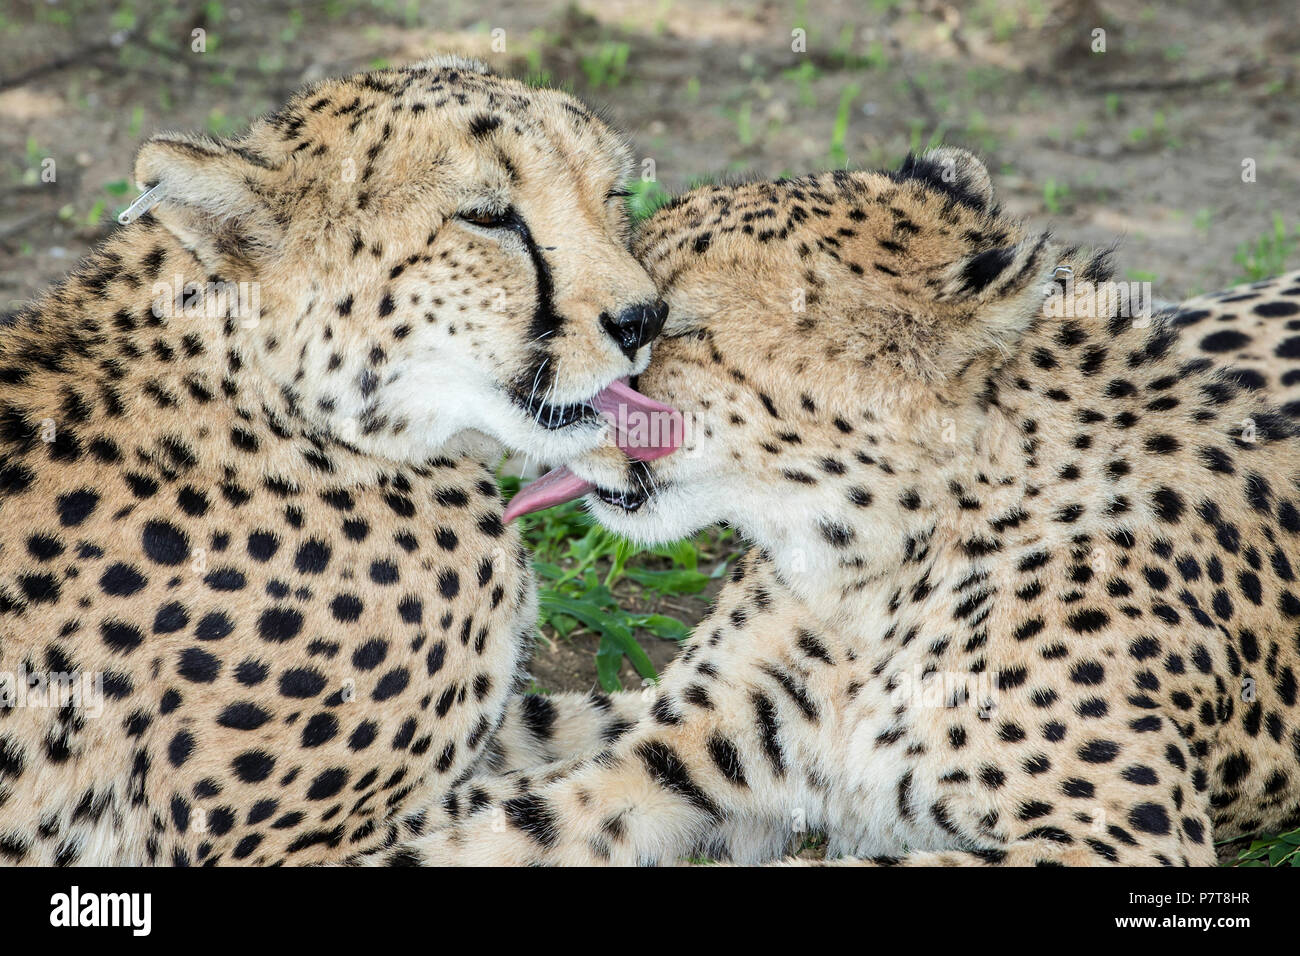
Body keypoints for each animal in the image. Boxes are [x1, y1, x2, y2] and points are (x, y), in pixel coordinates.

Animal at [0, 56, 675, 866]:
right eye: (486, 218)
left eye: (613, 196)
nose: (645, 319)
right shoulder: (280, 850)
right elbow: (578, 792)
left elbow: (595, 722)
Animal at [381, 149, 1300, 865]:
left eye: (671, 324)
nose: (548, 399)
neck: (883, 562)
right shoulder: (681, 762)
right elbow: (507, 819)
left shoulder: (1122, 839)